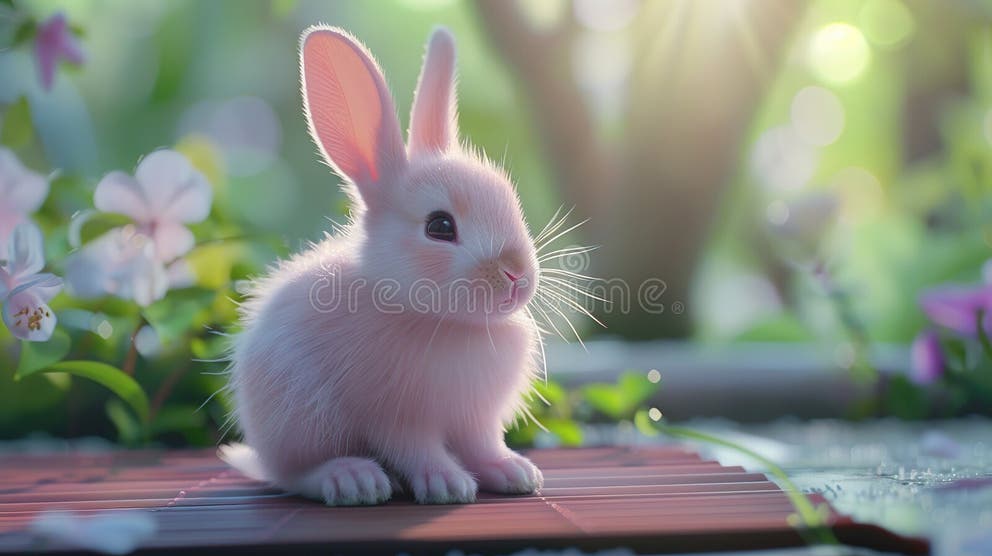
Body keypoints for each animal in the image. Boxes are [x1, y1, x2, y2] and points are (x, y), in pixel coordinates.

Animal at [220, 25, 545, 506]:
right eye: (440, 226)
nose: (517, 275)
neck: (448, 323)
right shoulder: (396, 418)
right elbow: (417, 449)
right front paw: (447, 484)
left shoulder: (477, 420)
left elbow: (484, 446)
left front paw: (515, 472)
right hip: (299, 422)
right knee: (295, 474)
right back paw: (354, 479)